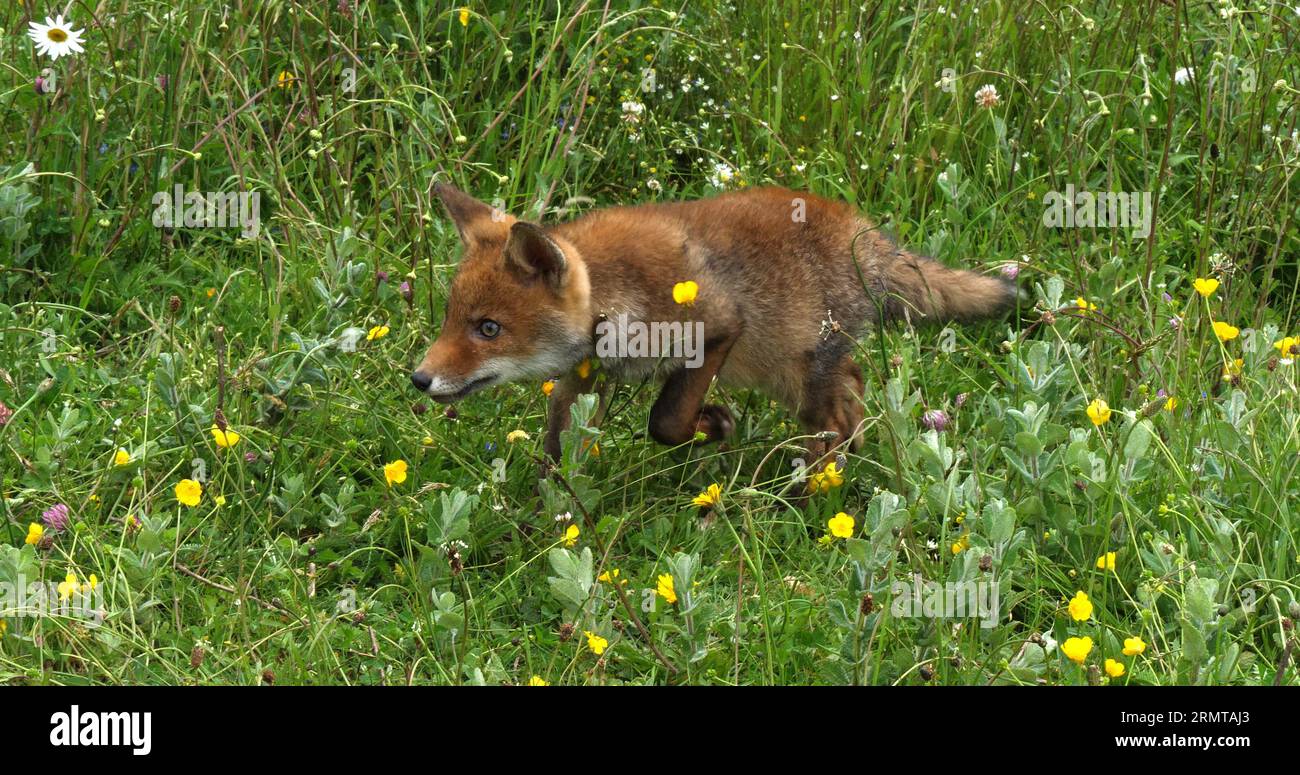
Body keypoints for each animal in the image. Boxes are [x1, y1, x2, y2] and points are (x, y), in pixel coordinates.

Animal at [412, 183, 1016, 465]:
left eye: (488, 329)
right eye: (451, 319)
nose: (418, 379)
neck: (618, 291)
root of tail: (864, 233)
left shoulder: (718, 328)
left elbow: (666, 420)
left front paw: (715, 425)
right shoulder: (585, 371)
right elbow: (558, 449)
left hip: (798, 375)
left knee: (833, 423)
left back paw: (816, 495)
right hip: (792, 375)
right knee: (854, 393)